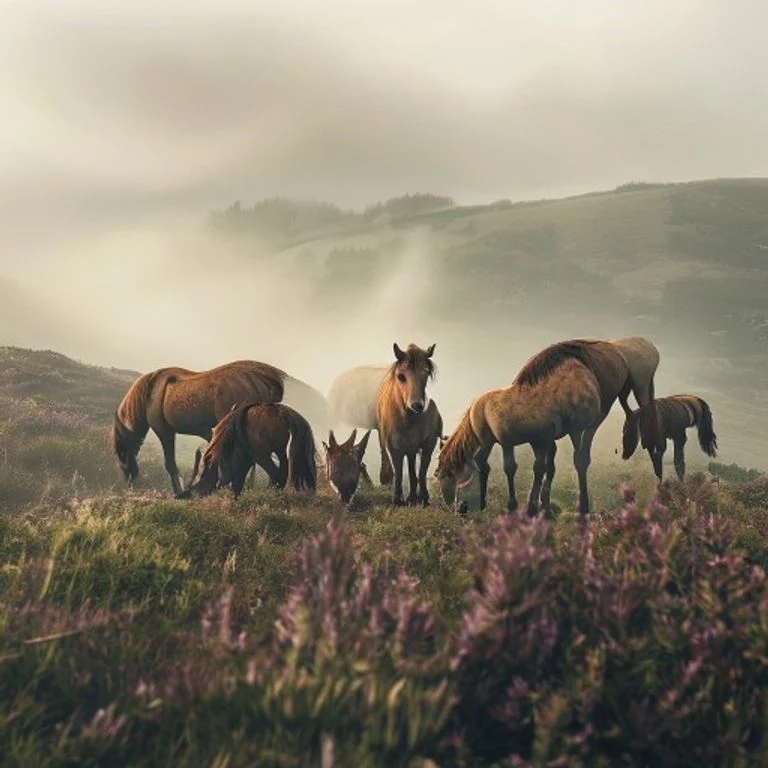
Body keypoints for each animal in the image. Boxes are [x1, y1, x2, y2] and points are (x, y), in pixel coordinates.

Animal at [188, 402, 317, 499]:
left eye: (203, 476)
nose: (198, 495)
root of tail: (285, 413)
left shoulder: (248, 457)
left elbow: (238, 480)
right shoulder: (246, 459)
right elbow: (238, 481)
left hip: (263, 455)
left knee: (275, 473)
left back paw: (271, 493)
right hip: (279, 451)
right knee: (283, 470)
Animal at [376, 342, 443, 506]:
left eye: (426, 374)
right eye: (401, 376)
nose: (417, 405)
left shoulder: (429, 443)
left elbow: (422, 470)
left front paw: (423, 497)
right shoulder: (394, 447)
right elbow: (399, 471)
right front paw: (397, 499)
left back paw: (413, 496)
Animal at [435, 338, 653, 517]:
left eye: (446, 476)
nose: (453, 507)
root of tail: (474, 404)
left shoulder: (547, 439)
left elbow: (546, 467)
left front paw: (537, 508)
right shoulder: (540, 440)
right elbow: (541, 467)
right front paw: (534, 508)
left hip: (492, 440)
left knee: (486, 462)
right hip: (488, 439)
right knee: (484, 462)